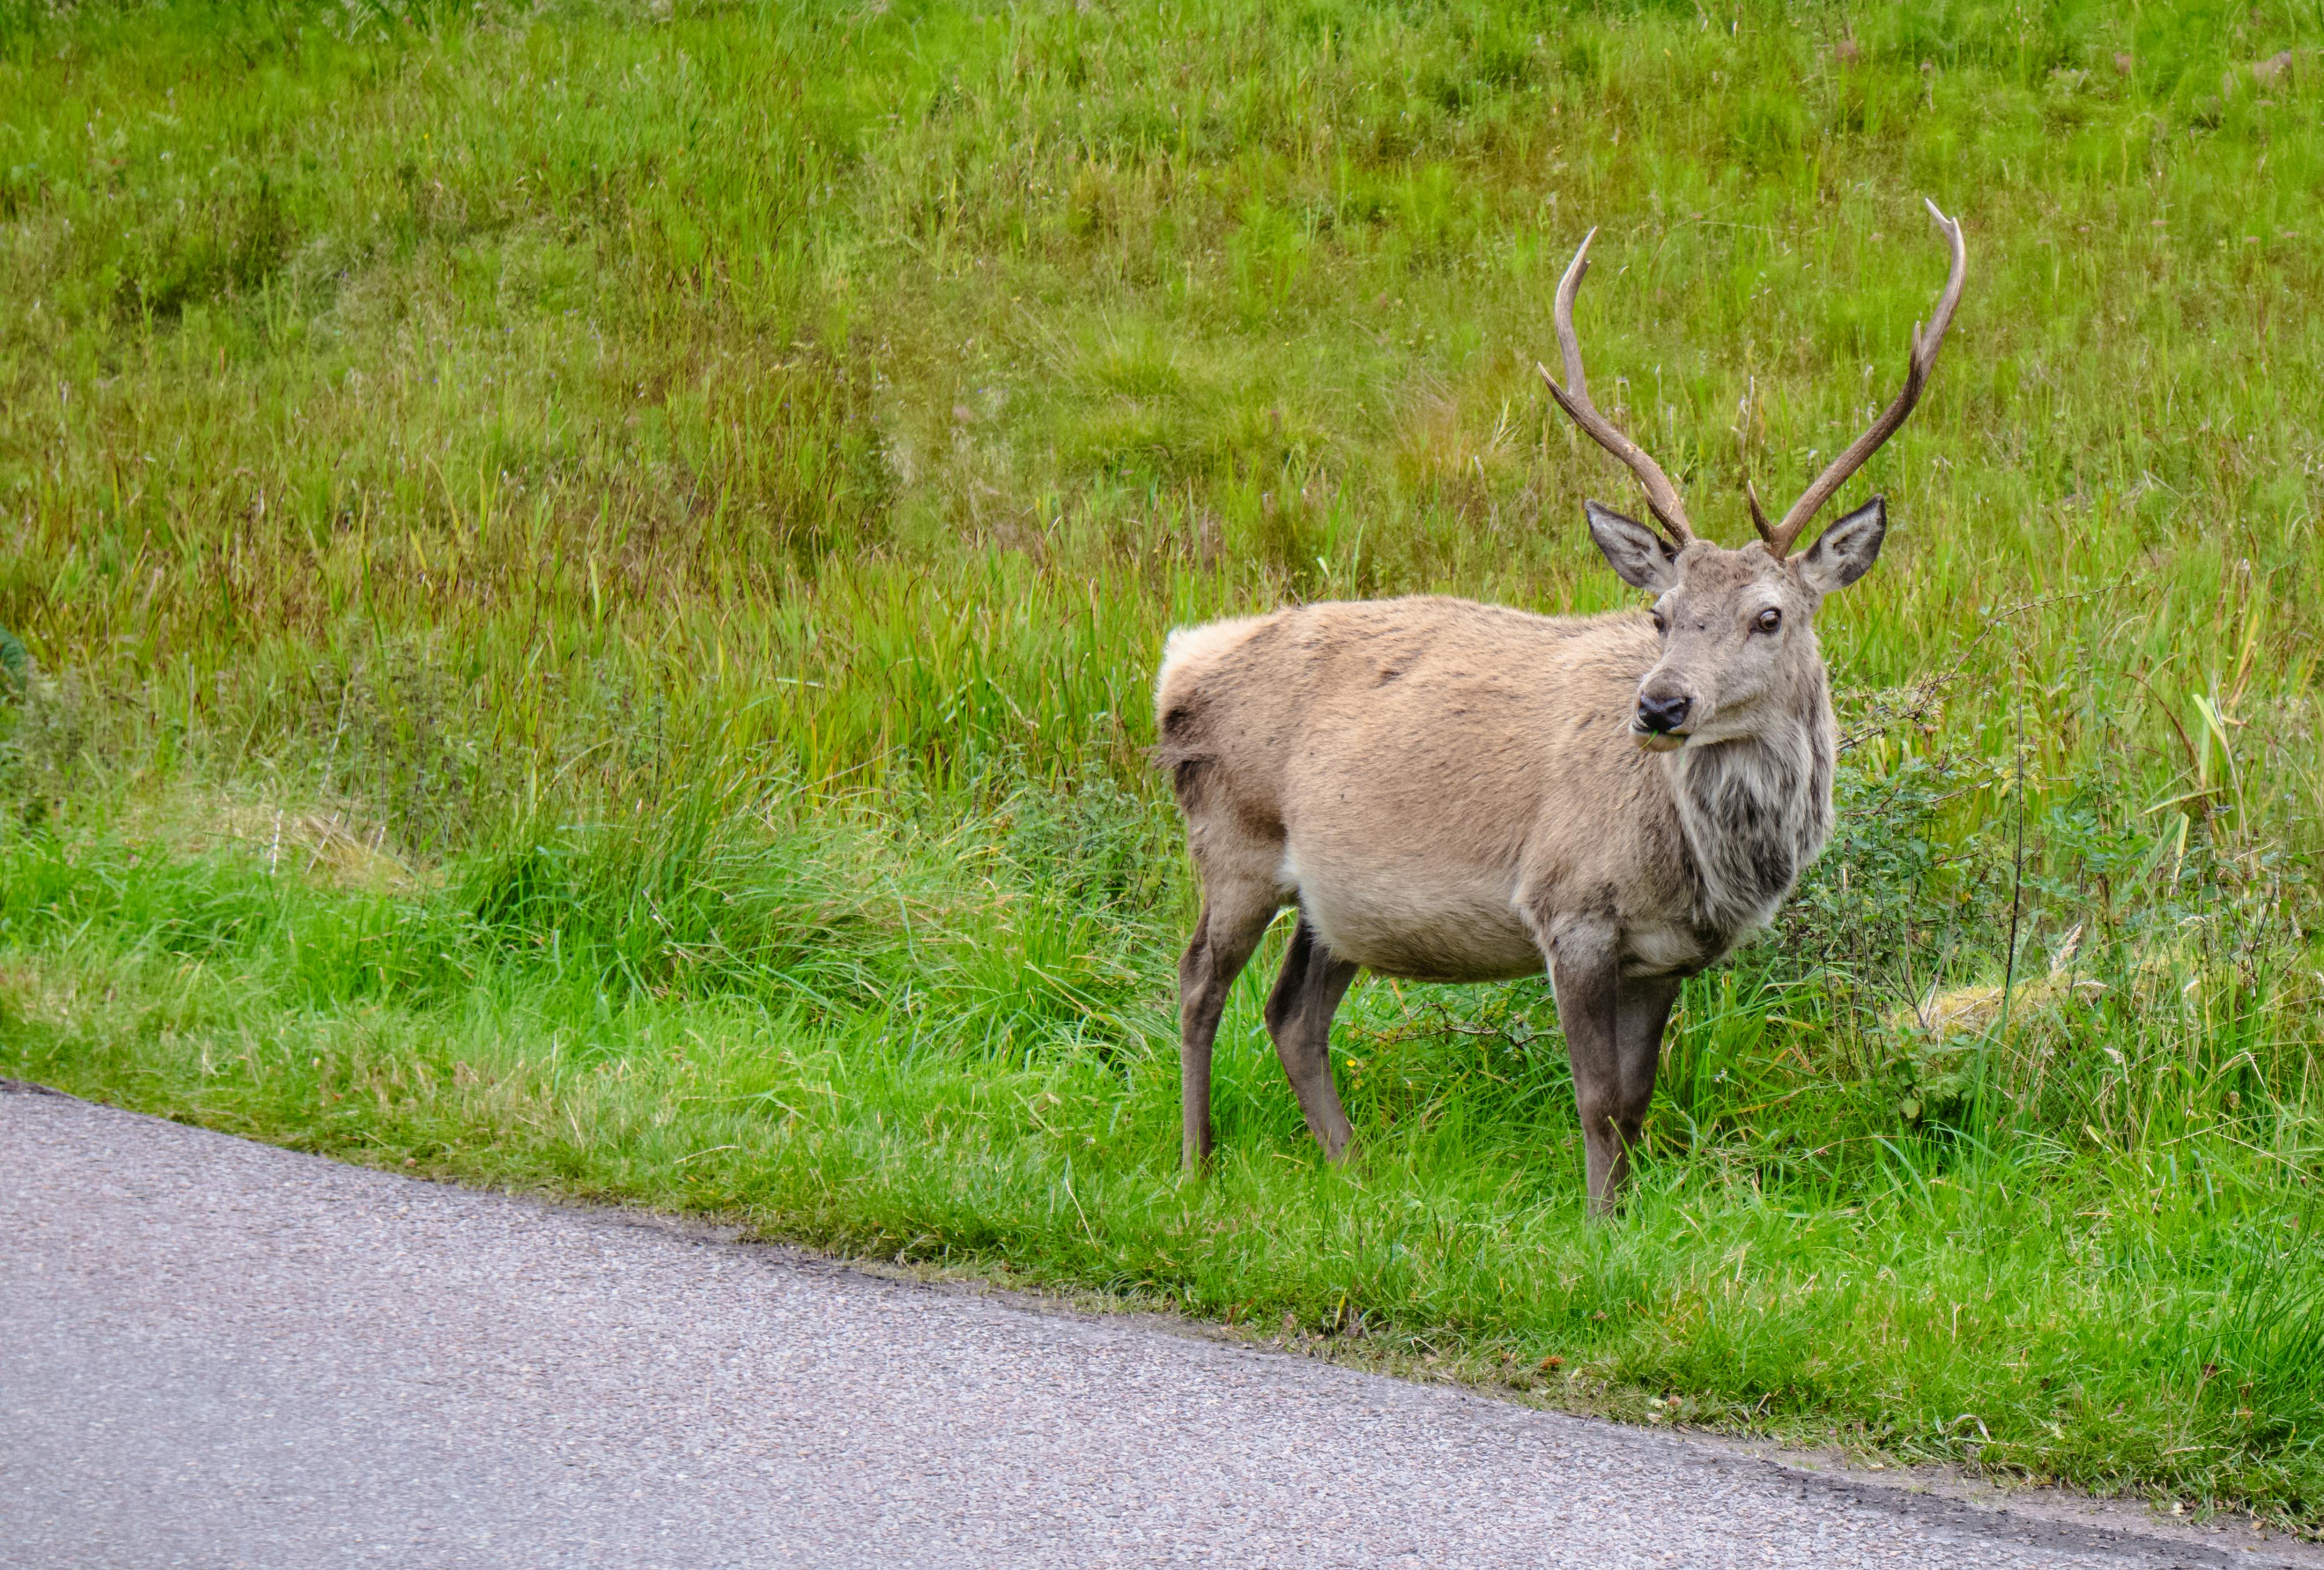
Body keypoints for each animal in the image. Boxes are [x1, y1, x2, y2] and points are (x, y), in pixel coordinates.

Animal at [1154, 200, 1966, 1212]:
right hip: (1233, 837)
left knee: (1292, 1013)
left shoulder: (1666, 952)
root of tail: (1179, 666)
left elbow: (1639, 1100)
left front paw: (1625, 1219)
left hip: (1332, 897)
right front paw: (1594, 1226)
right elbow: (1595, 1098)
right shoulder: (1567, 907)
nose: (1659, 706)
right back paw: (1197, 1164)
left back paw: (1353, 1170)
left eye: (1770, 614)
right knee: (1198, 982)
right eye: (1659, 613)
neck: (1702, 861)